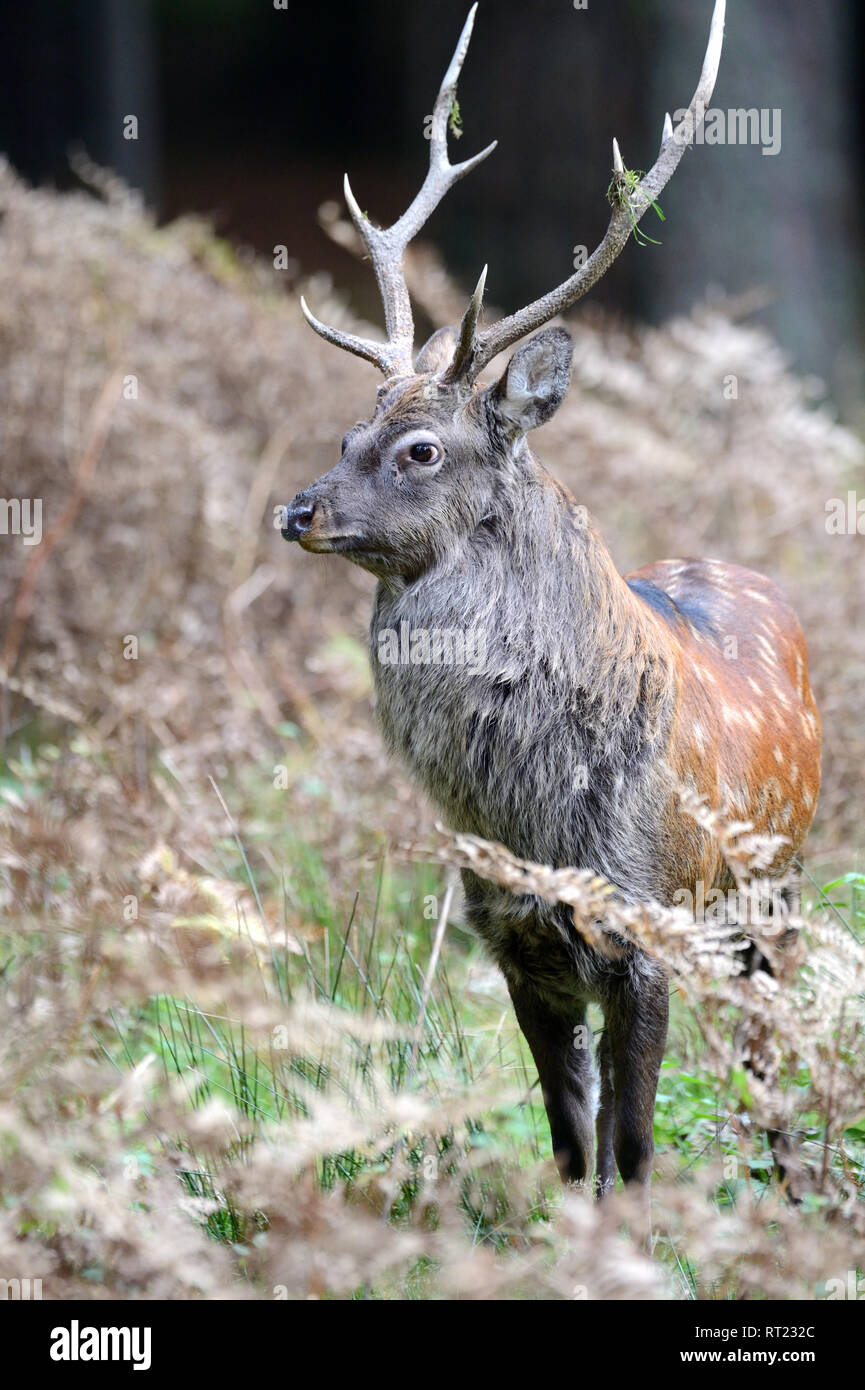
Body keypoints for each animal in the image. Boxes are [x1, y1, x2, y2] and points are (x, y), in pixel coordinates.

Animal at [279, 0, 821, 1209]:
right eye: (345, 432)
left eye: (420, 450)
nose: (297, 509)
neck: (529, 816)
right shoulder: (514, 940)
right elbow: (575, 1149)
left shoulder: (645, 924)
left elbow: (635, 1148)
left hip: (776, 883)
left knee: (775, 1050)